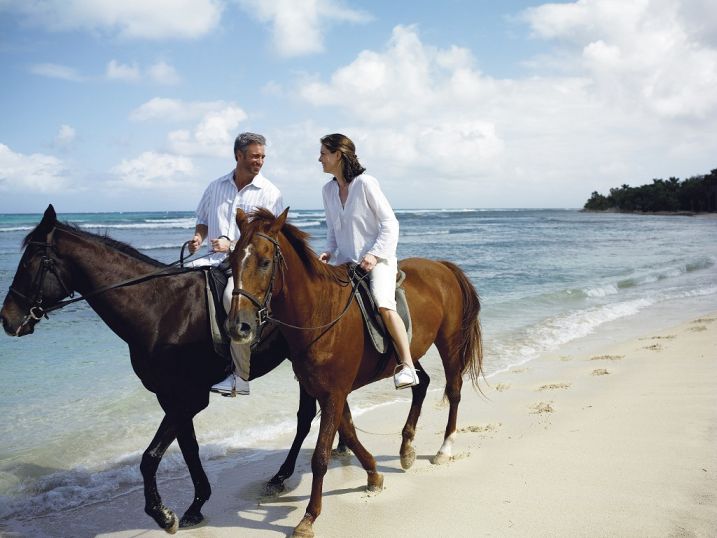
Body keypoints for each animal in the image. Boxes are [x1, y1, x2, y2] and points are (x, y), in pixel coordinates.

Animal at [0, 205, 306, 533]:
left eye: (29, 263)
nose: (7, 319)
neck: (161, 309)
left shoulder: (189, 398)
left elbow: (149, 457)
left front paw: (162, 514)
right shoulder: (171, 398)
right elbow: (188, 449)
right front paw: (196, 505)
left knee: (306, 418)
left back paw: (281, 476)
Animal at [226, 207, 484, 537]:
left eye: (265, 262)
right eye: (232, 262)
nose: (239, 327)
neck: (320, 313)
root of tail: (442, 266)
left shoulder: (334, 392)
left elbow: (321, 454)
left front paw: (309, 516)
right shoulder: (320, 388)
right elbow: (344, 428)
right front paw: (373, 473)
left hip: (449, 342)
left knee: (453, 390)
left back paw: (445, 447)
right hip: (410, 354)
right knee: (422, 383)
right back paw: (406, 447)